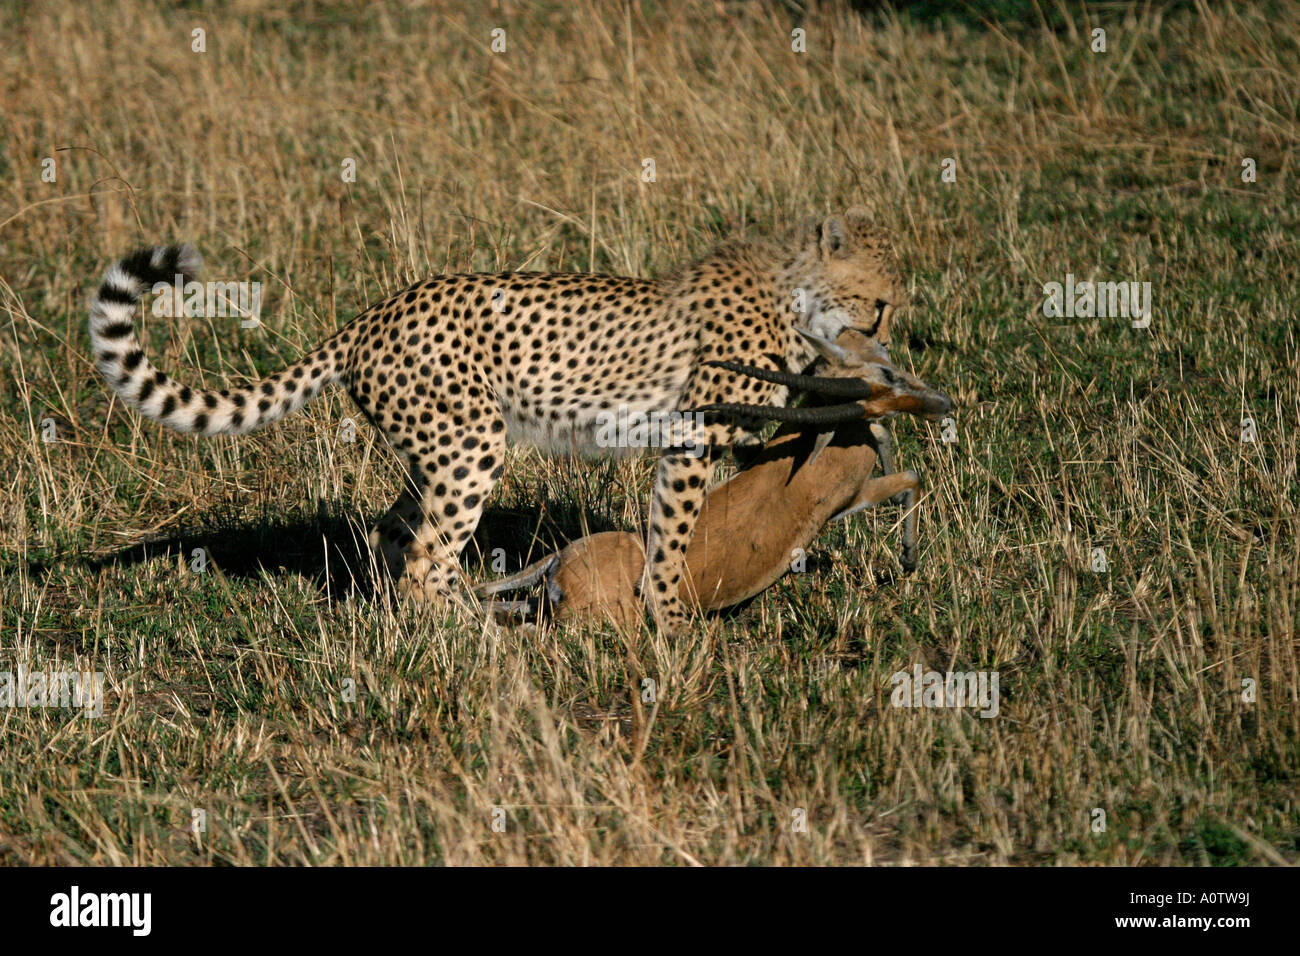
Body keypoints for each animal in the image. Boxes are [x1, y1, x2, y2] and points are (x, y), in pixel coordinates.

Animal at [87, 208, 904, 636]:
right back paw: (480, 633)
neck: (790, 296)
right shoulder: (689, 437)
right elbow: (673, 534)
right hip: (472, 444)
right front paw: (671, 620)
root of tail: (373, 313)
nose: (890, 352)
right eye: (878, 303)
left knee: (396, 534)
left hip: (439, 447)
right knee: (426, 557)